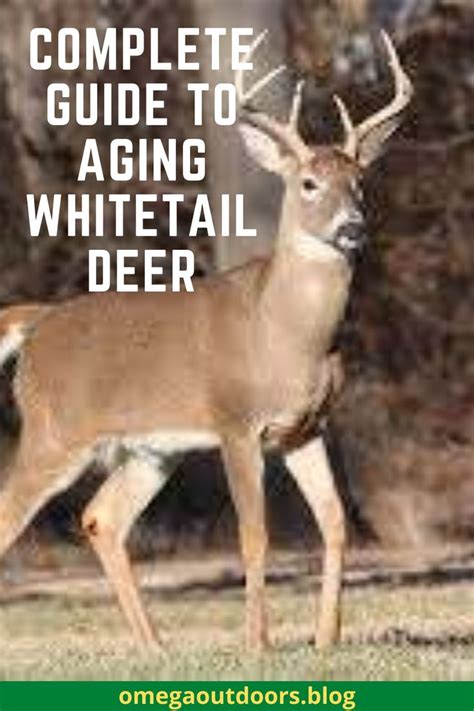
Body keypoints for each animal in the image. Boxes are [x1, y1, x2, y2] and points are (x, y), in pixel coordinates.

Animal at [0, 30, 412, 652]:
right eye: (308, 183)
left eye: (359, 183)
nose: (353, 229)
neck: (287, 337)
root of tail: (38, 323)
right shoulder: (235, 422)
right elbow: (254, 533)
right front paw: (258, 644)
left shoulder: (306, 428)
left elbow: (335, 523)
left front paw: (325, 641)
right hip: (53, 432)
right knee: (10, 512)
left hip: (151, 451)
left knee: (102, 517)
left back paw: (155, 647)